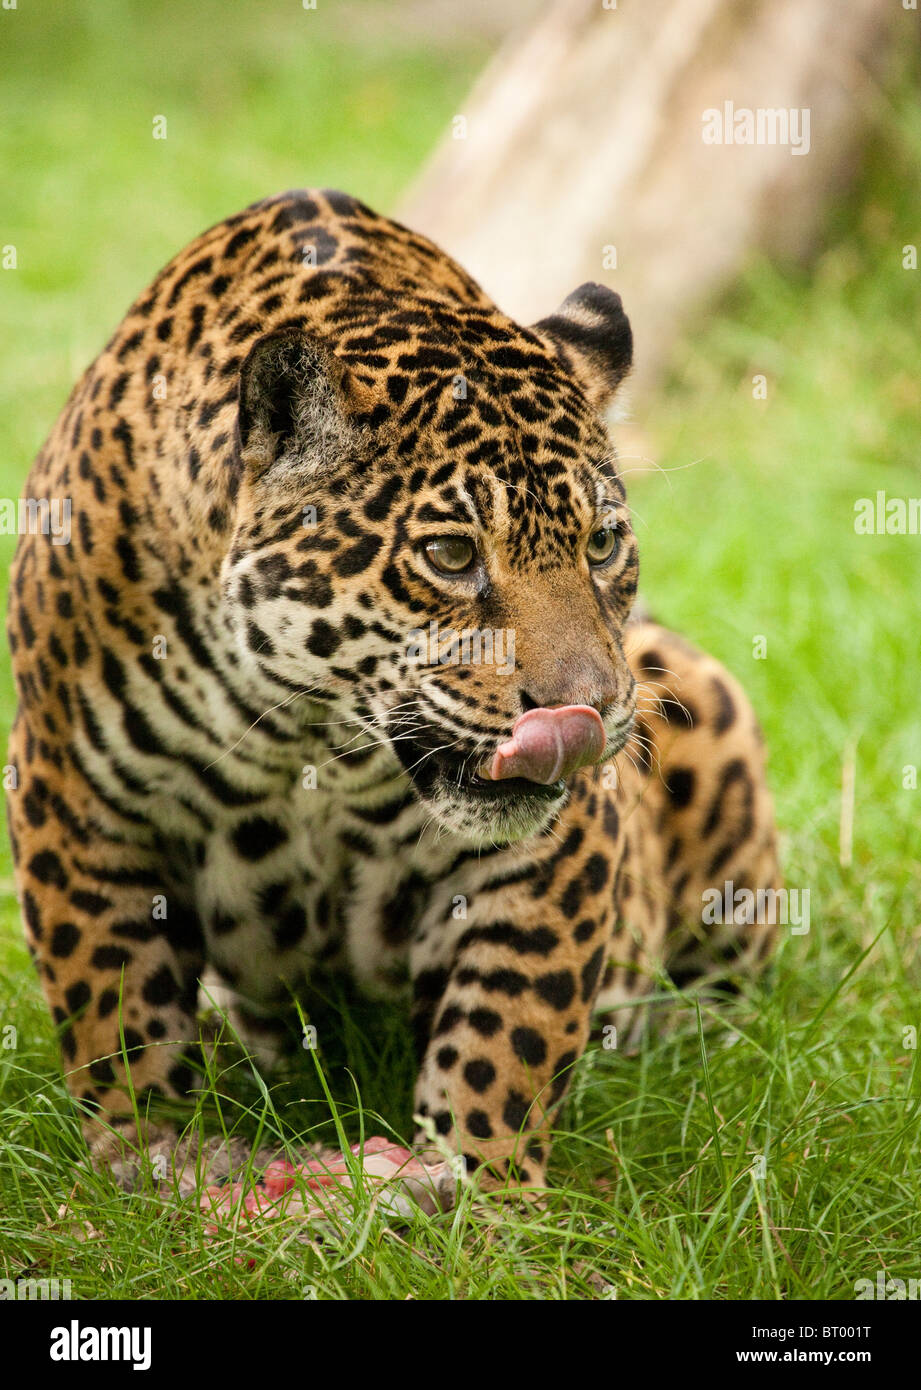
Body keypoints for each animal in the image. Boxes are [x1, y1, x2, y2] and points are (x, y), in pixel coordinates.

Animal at [6, 189, 780, 1197]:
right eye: (449, 555)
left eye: (601, 543)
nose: (587, 714)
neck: (308, 731)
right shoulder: (72, 792)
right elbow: (114, 999)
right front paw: (144, 1157)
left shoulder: (559, 843)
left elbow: (508, 1026)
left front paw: (485, 1190)